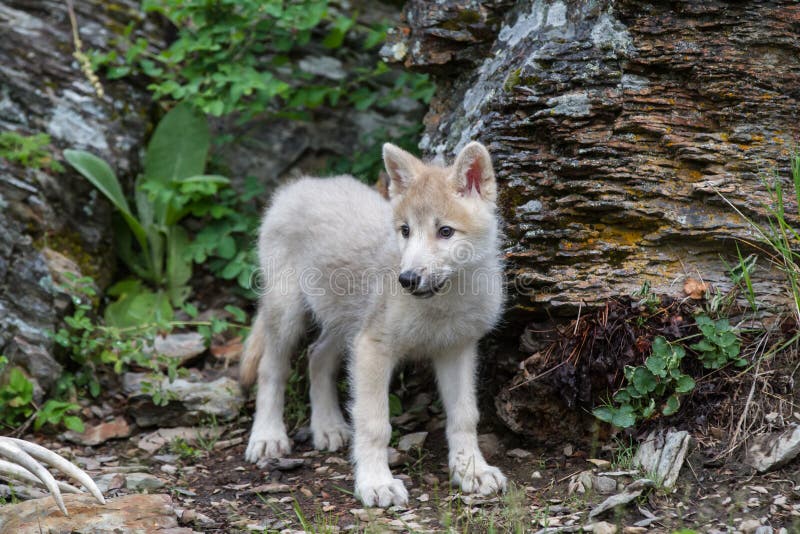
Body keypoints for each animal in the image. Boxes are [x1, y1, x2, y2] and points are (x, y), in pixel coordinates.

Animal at [239, 141, 507, 507]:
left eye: (445, 232)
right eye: (405, 231)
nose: (407, 279)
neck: (442, 304)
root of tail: (302, 184)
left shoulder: (456, 349)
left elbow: (465, 416)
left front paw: (472, 471)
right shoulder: (373, 348)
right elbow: (375, 424)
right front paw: (376, 483)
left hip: (345, 322)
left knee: (316, 356)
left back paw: (328, 427)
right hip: (288, 314)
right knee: (272, 369)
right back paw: (267, 436)